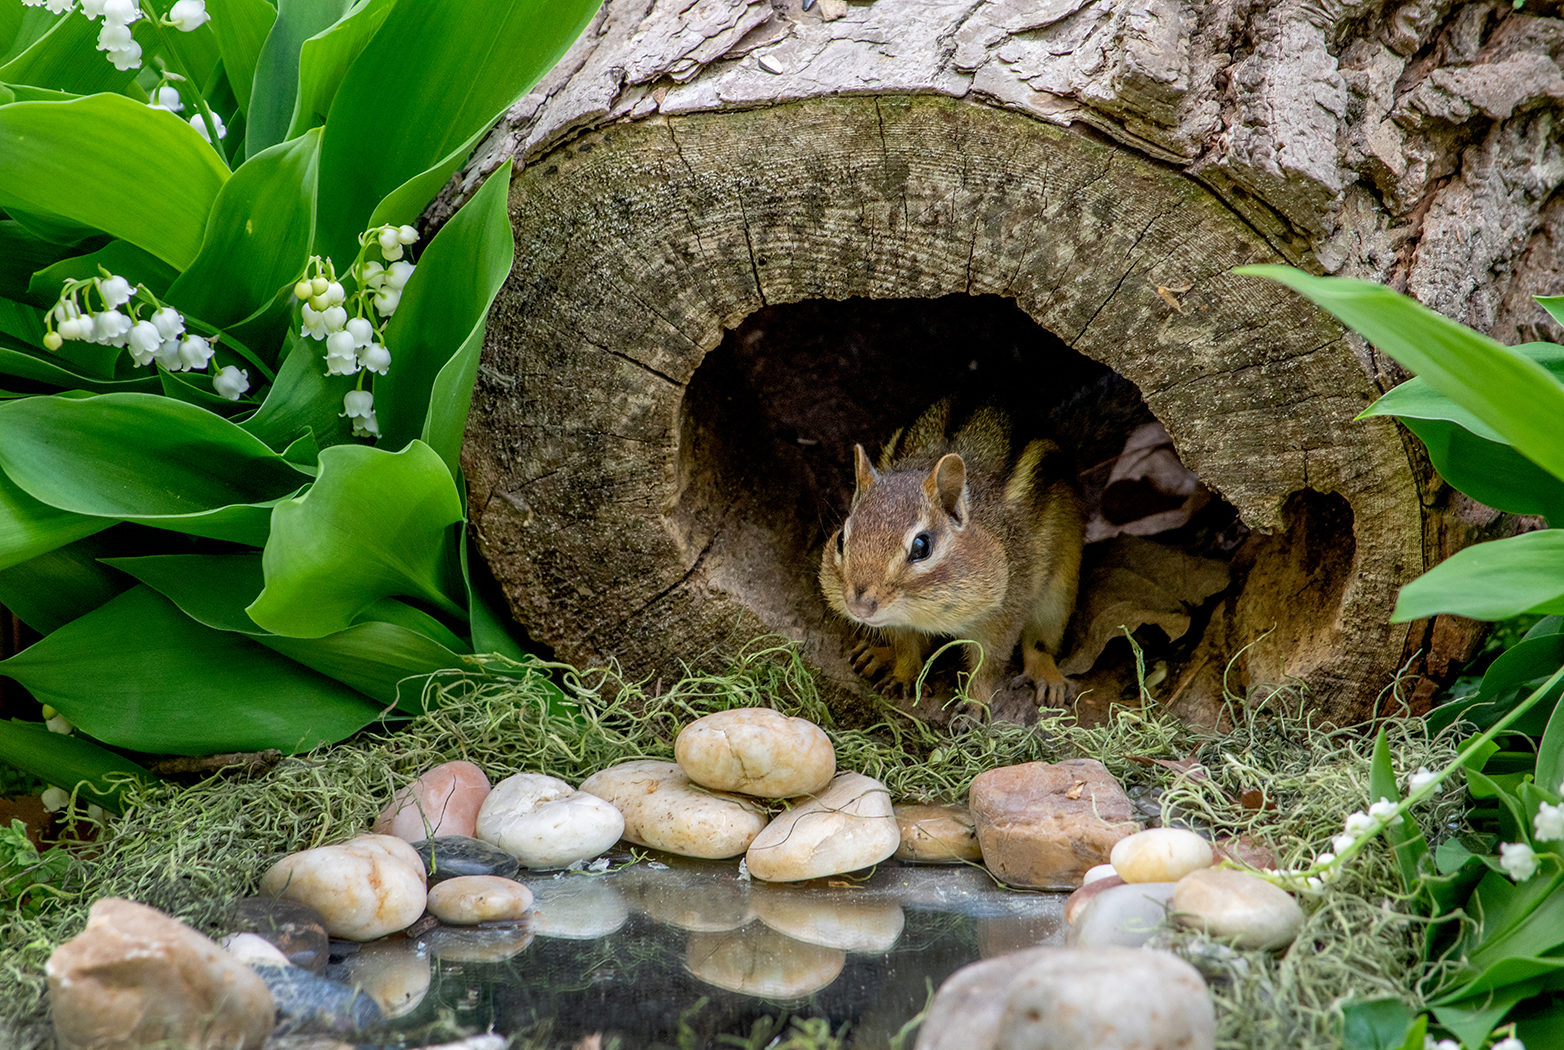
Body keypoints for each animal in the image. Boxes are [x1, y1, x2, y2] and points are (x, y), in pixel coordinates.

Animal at [818, 399, 1085, 713]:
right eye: (841, 539)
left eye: (922, 547)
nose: (859, 606)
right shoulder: (898, 623)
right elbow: (905, 646)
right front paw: (904, 675)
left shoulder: (1006, 608)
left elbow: (989, 663)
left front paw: (975, 703)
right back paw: (877, 655)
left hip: (1059, 593)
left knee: (1041, 643)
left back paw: (1047, 677)